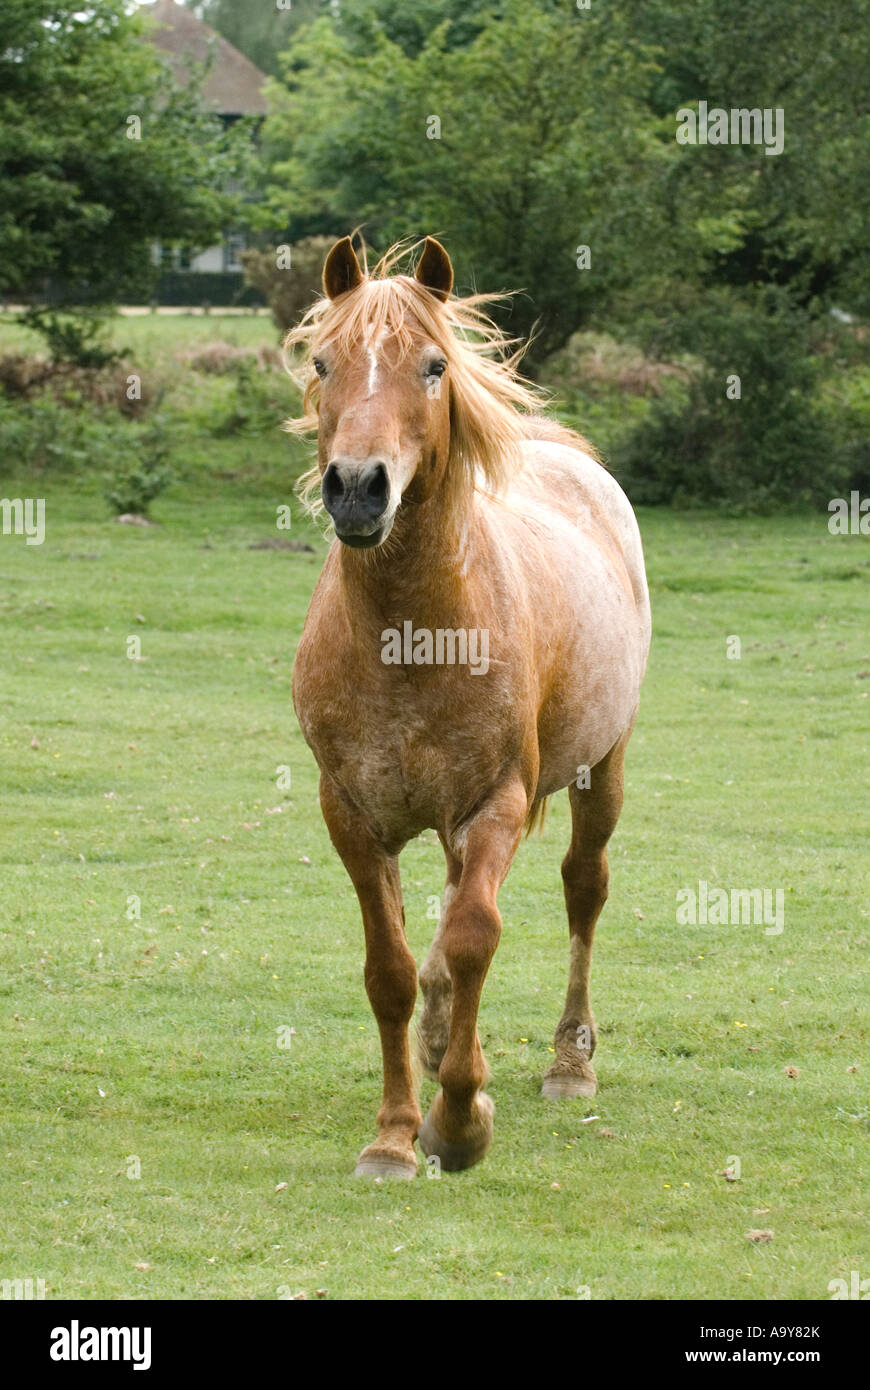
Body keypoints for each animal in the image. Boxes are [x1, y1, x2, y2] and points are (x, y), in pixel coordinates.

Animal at [288, 236, 651, 1177]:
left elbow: (475, 938)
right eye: (321, 361)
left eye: (434, 366)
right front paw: (394, 1134)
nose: (357, 489)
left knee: (581, 890)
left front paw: (457, 1123)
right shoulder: (352, 817)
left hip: (603, 769)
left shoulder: (494, 806)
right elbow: (390, 969)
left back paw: (567, 1064)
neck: (410, 638)